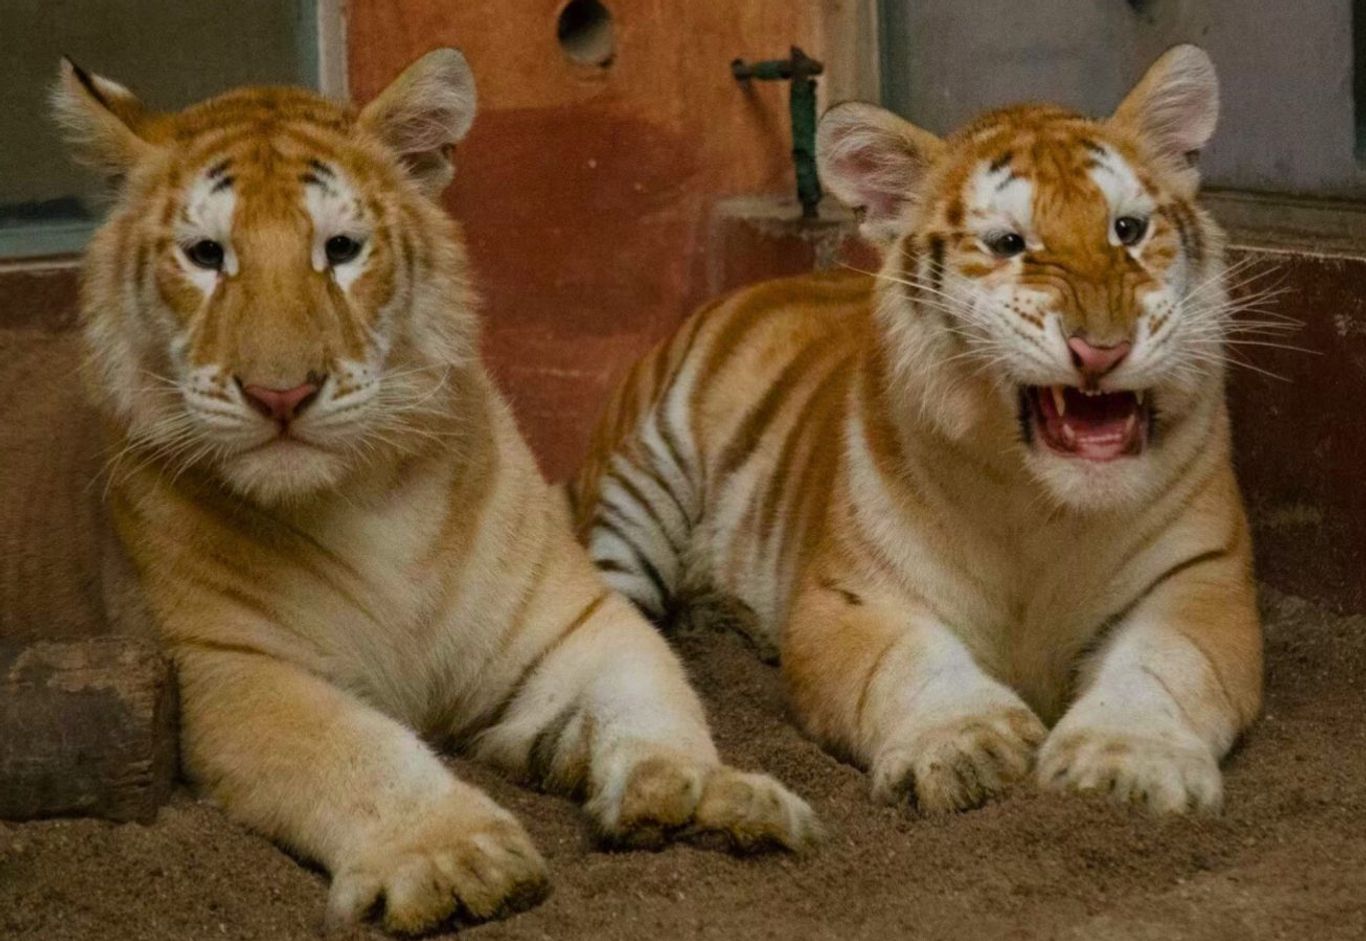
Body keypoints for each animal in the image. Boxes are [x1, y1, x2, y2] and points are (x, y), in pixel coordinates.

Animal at [53, 48, 816, 934]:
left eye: (341, 249)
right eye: (207, 255)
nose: (281, 393)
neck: (365, 500)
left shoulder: (571, 618)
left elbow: (655, 691)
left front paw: (703, 790)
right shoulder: (233, 666)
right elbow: (351, 746)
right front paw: (451, 857)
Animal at [571, 45, 1263, 816]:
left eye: (1128, 229)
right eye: (1008, 243)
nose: (1101, 348)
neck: (1044, 504)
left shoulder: (1200, 584)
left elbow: (1162, 666)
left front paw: (1126, 762)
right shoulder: (857, 595)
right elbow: (908, 664)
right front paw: (964, 743)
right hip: (641, 481)